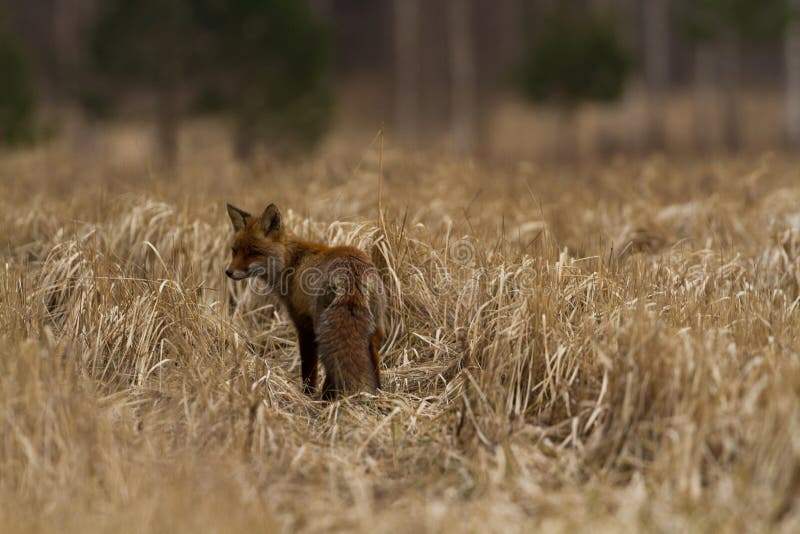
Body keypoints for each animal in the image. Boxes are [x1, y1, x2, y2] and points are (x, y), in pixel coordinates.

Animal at [225, 203, 386, 399]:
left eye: (252, 252)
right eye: (234, 251)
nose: (228, 272)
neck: (291, 263)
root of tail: (352, 273)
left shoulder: (304, 325)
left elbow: (308, 370)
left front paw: (307, 395)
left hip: (323, 328)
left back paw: (327, 400)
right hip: (374, 330)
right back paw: (376, 393)